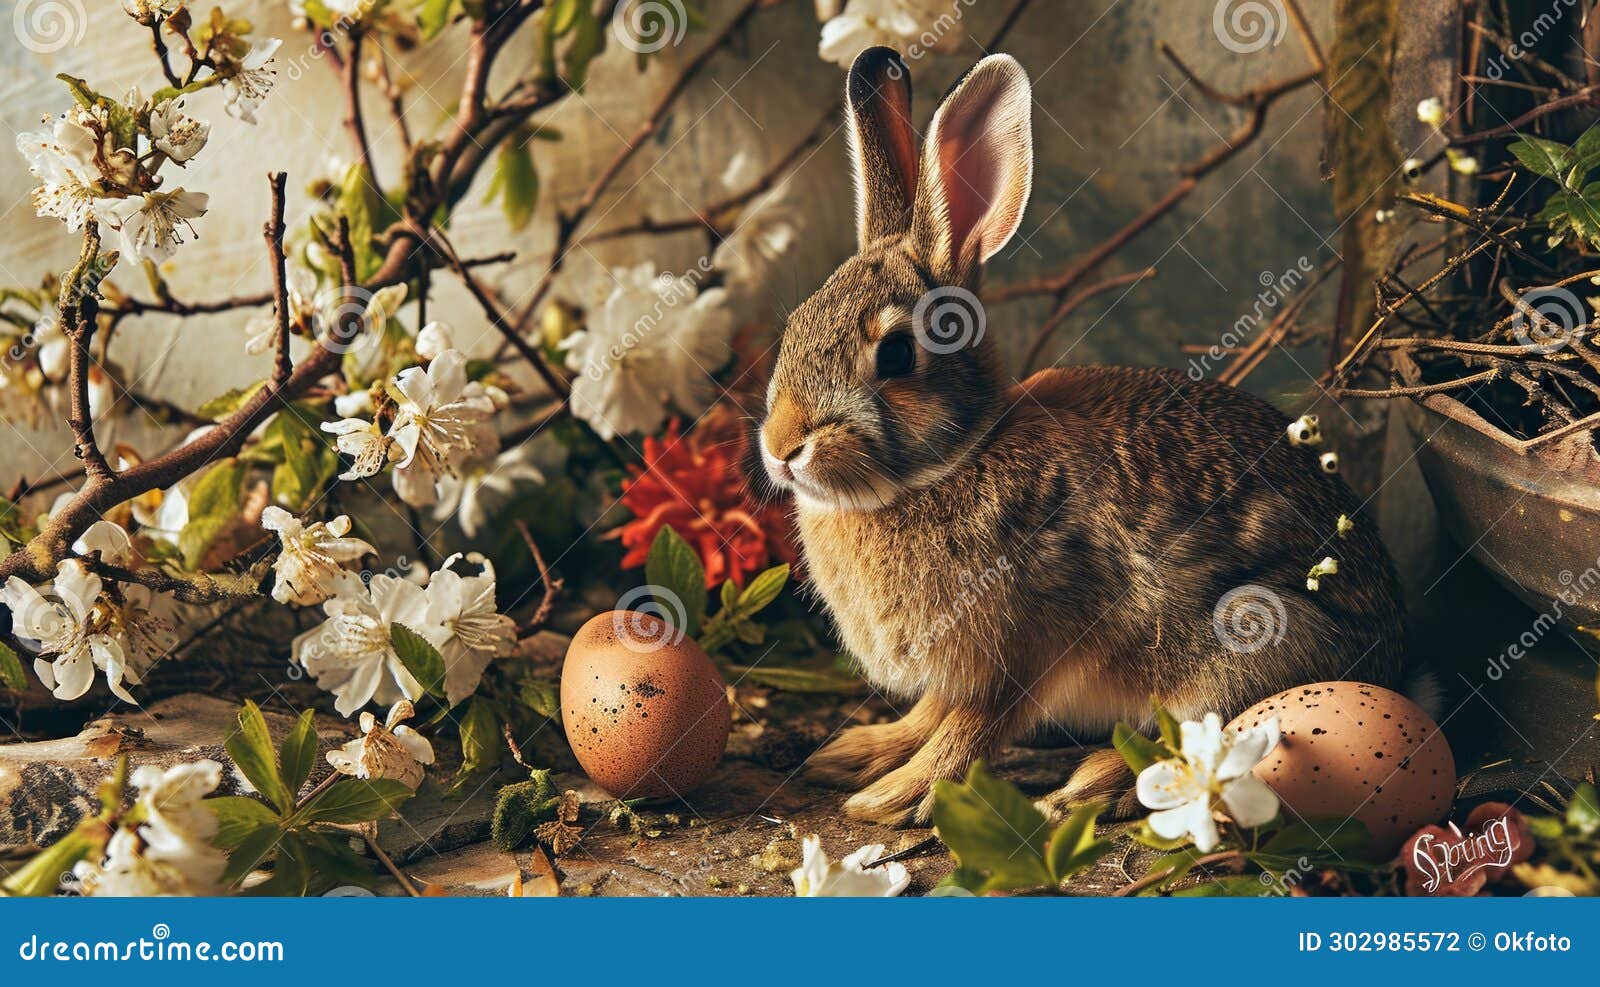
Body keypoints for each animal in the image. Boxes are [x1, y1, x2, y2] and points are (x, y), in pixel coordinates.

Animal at [743, 47, 1408, 827]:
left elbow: (971, 729)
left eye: (899, 355)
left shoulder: (1022, 650)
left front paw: (891, 795)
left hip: (1247, 639)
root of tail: (1396, 656)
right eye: (794, 327)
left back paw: (1092, 783)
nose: (782, 446)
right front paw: (858, 754)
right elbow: (933, 713)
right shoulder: (961, 668)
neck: (955, 461)